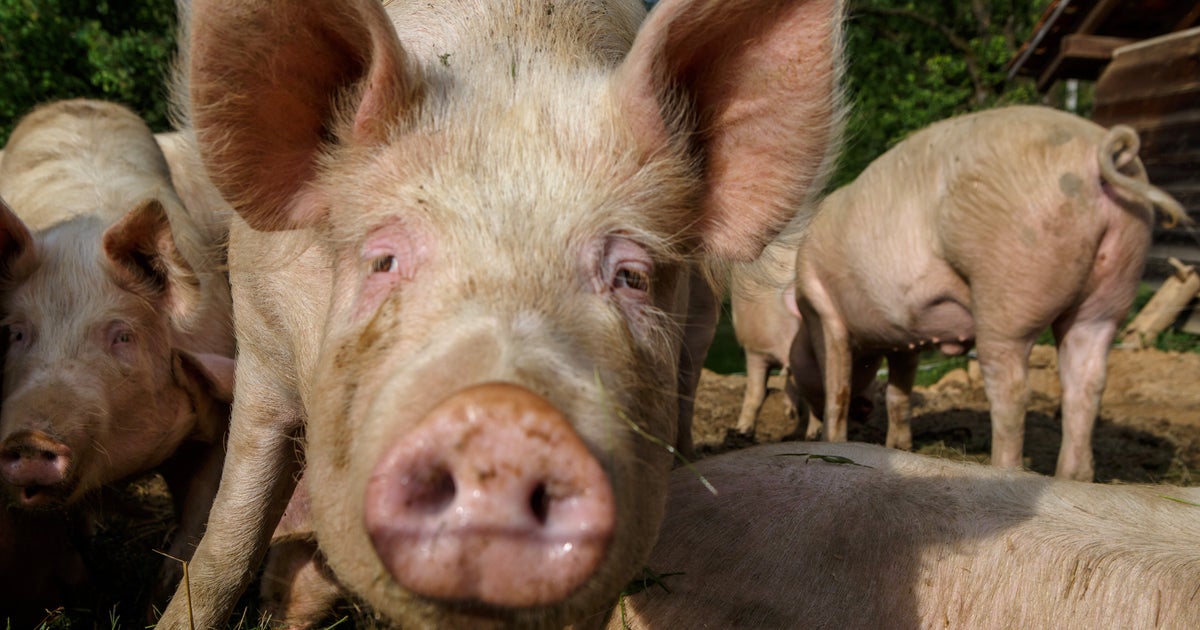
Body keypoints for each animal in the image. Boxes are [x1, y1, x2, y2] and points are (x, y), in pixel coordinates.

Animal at [156, 0, 845, 627]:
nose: (503, 422)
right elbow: (227, 545)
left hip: (699, 331)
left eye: (632, 276)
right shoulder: (261, 342)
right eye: (383, 261)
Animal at [791, 105, 1189, 481]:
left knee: (1011, 389)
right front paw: (898, 447)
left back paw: (1005, 470)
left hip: (1007, 283)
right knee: (1086, 383)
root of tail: (1097, 150)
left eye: (803, 355)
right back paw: (1073, 478)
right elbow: (897, 393)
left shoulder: (822, 306)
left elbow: (837, 389)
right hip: (1113, 289)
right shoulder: (906, 338)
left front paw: (832, 442)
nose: (865, 409)